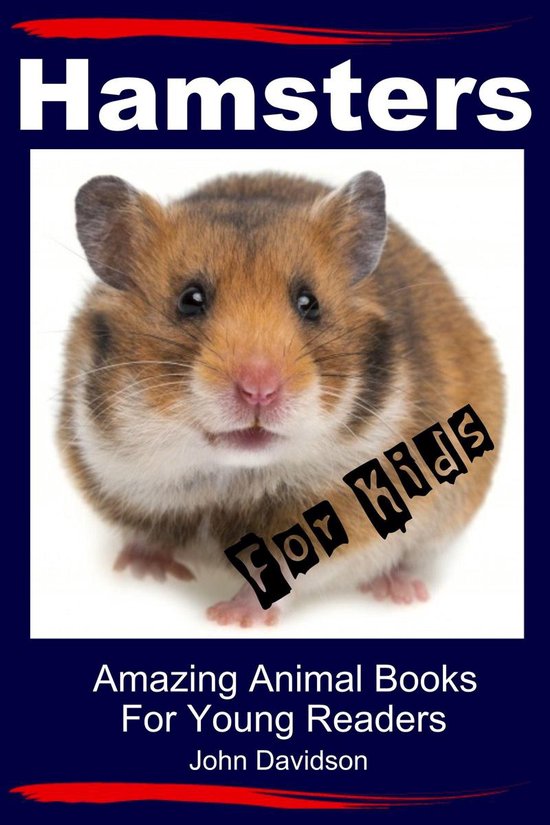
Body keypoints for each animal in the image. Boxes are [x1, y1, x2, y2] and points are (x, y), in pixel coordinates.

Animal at [58, 170, 504, 627]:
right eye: (189, 300)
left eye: (309, 303)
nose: (260, 389)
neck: (232, 475)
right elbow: (146, 532)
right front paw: (141, 573)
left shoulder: (349, 507)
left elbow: (291, 568)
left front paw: (231, 619)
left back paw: (401, 592)